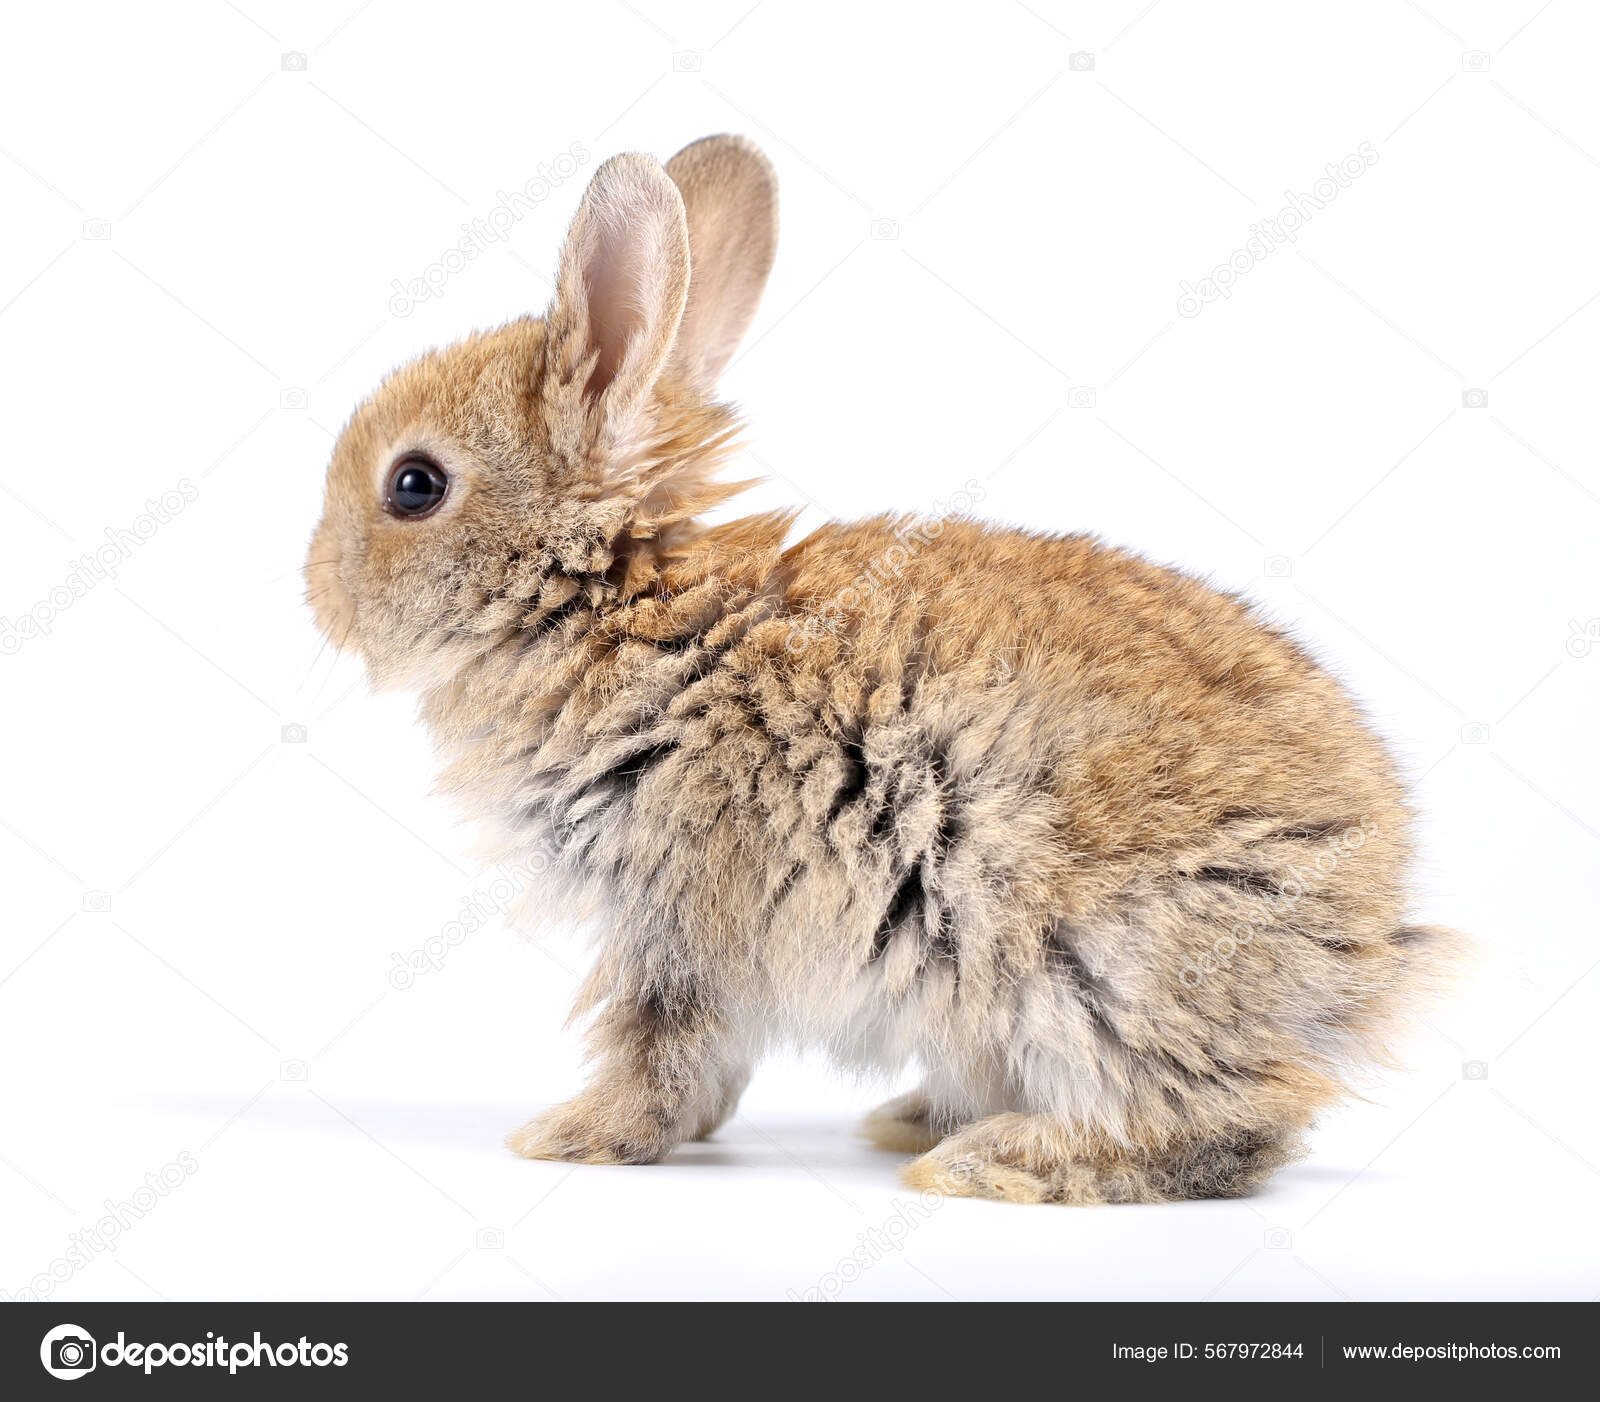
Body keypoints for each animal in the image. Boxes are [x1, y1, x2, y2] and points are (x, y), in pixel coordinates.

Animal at [305, 133, 1466, 1204]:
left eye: (414, 485)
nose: (317, 595)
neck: (630, 612)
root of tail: (1365, 948)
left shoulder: (681, 915)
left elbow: (666, 1051)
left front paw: (571, 1138)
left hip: (1105, 968)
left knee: (1230, 1123)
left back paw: (992, 1158)